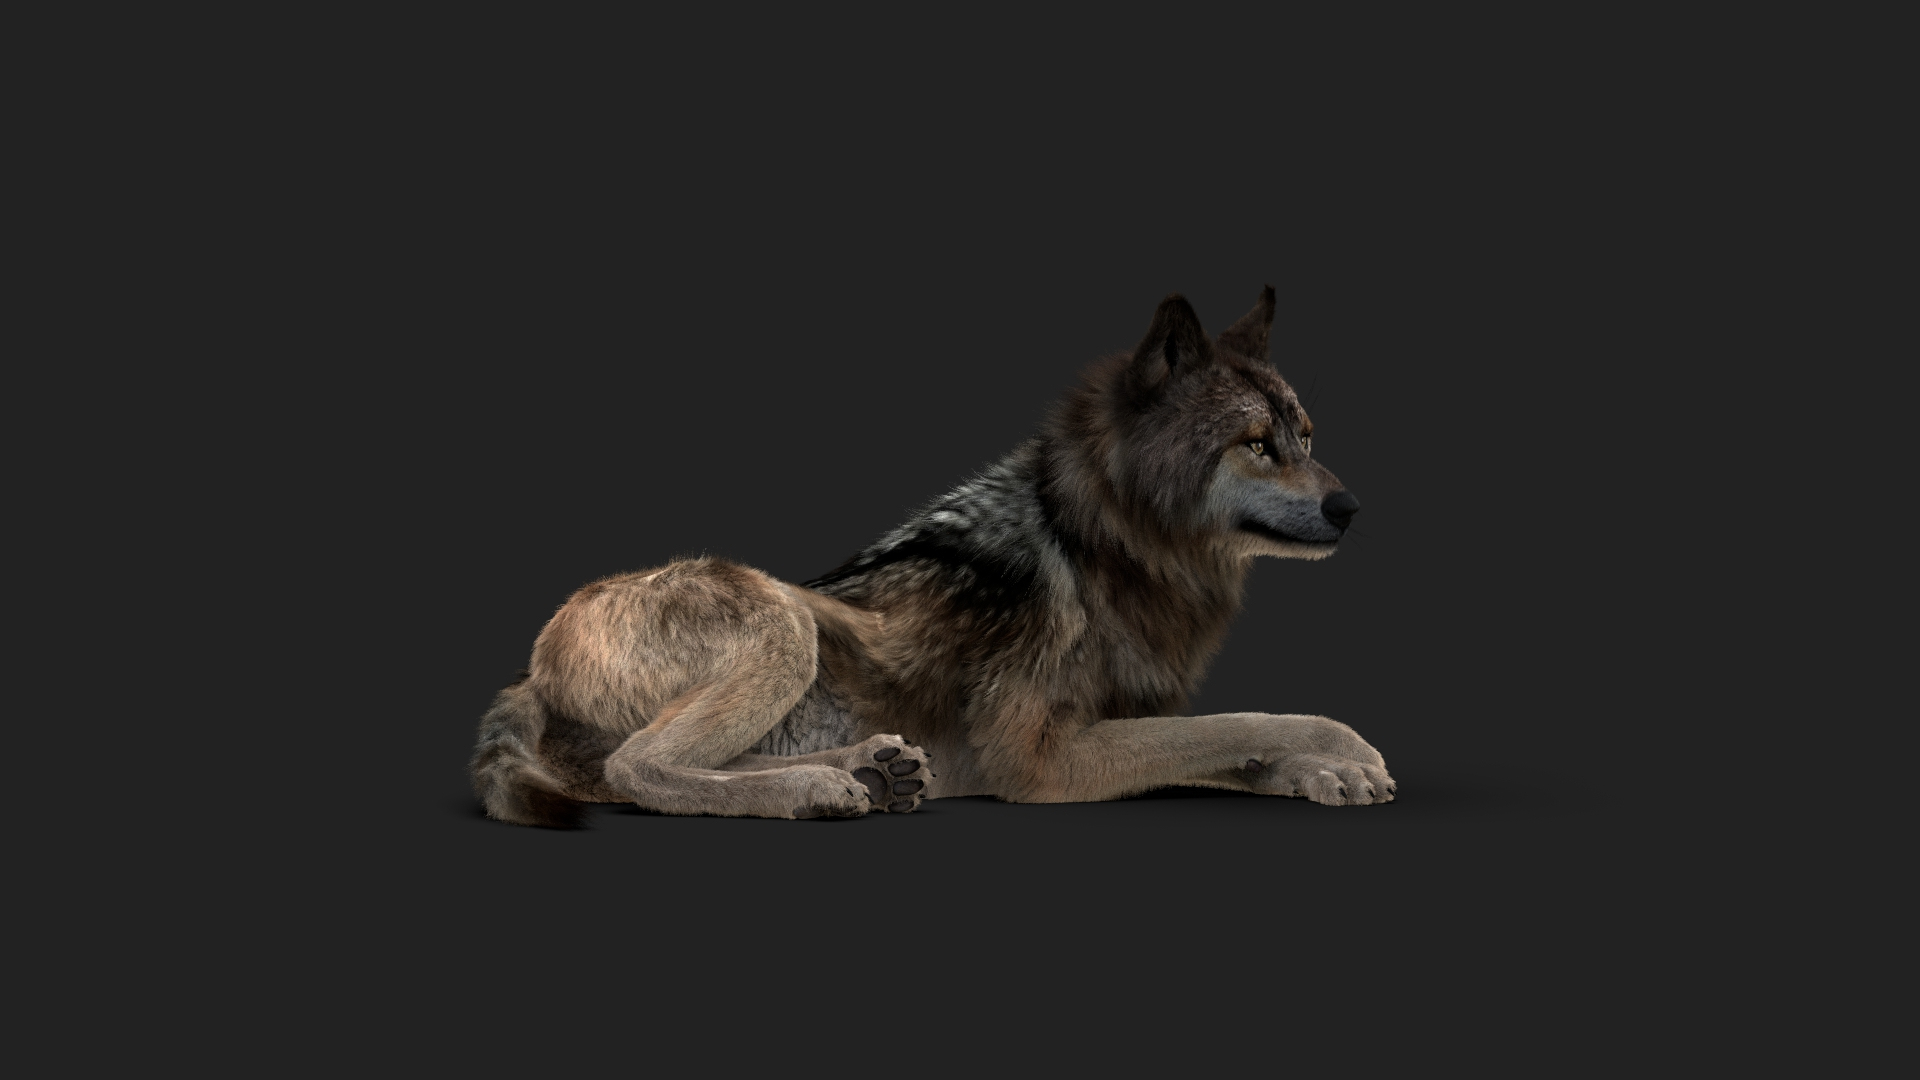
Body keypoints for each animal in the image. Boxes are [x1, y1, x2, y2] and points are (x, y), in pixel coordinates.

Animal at [472, 287, 1393, 826]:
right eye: (1256, 443)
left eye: (1307, 437)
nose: (1350, 507)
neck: (1105, 544)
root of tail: (532, 663)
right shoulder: (1043, 758)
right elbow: (1247, 723)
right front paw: (1343, 748)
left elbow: (1231, 747)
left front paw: (1322, 773)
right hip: (782, 626)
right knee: (638, 768)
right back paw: (820, 790)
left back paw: (873, 771)